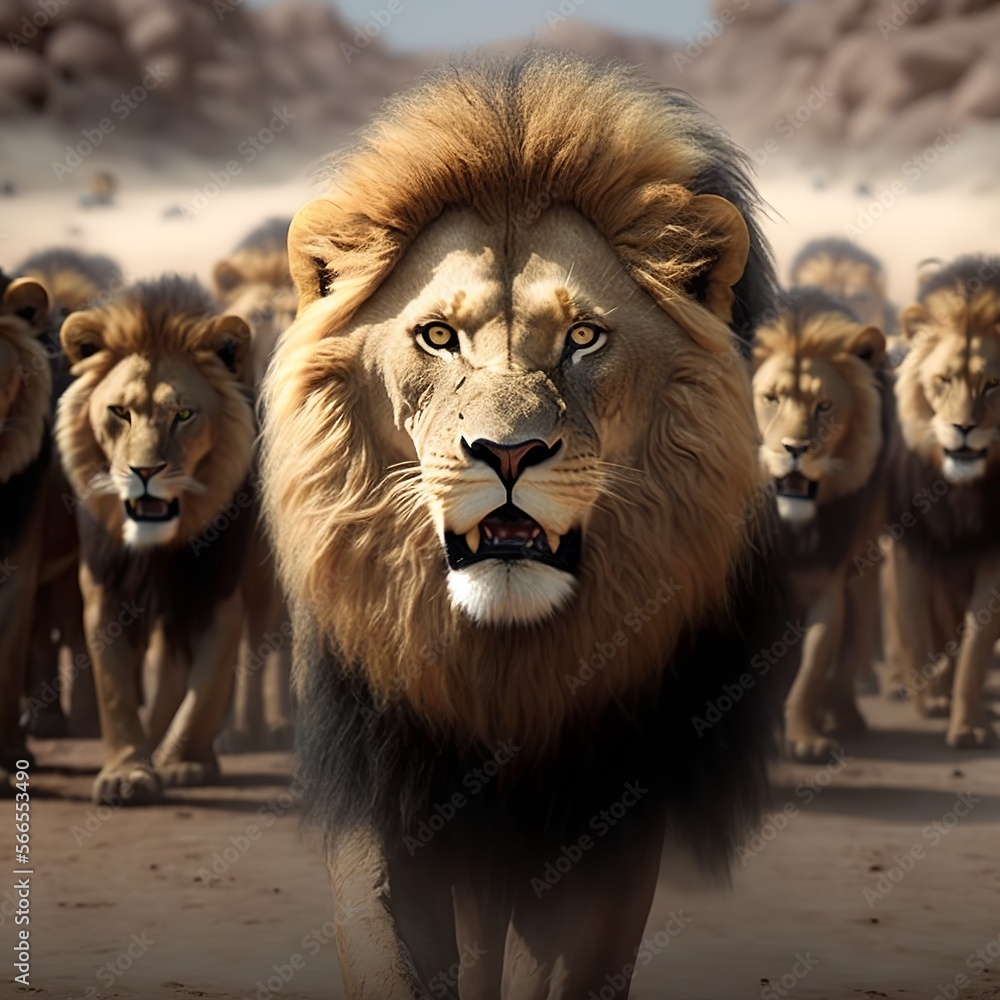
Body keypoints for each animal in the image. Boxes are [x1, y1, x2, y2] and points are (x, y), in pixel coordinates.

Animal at [56, 275, 256, 804]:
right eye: (119, 412)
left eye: (183, 414)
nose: (144, 472)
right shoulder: (103, 587)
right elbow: (115, 689)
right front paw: (127, 772)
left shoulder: (217, 590)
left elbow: (205, 689)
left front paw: (181, 762)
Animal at [261, 54, 793, 998]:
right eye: (439, 336)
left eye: (583, 337)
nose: (506, 453)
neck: (502, 671)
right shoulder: (384, 794)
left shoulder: (607, 825)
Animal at [752, 288, 888, 761]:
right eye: (771, 398)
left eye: (824, 406)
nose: (796, 449)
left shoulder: (826, 582)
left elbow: (811, 667)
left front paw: (803, 738)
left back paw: (845, 713)